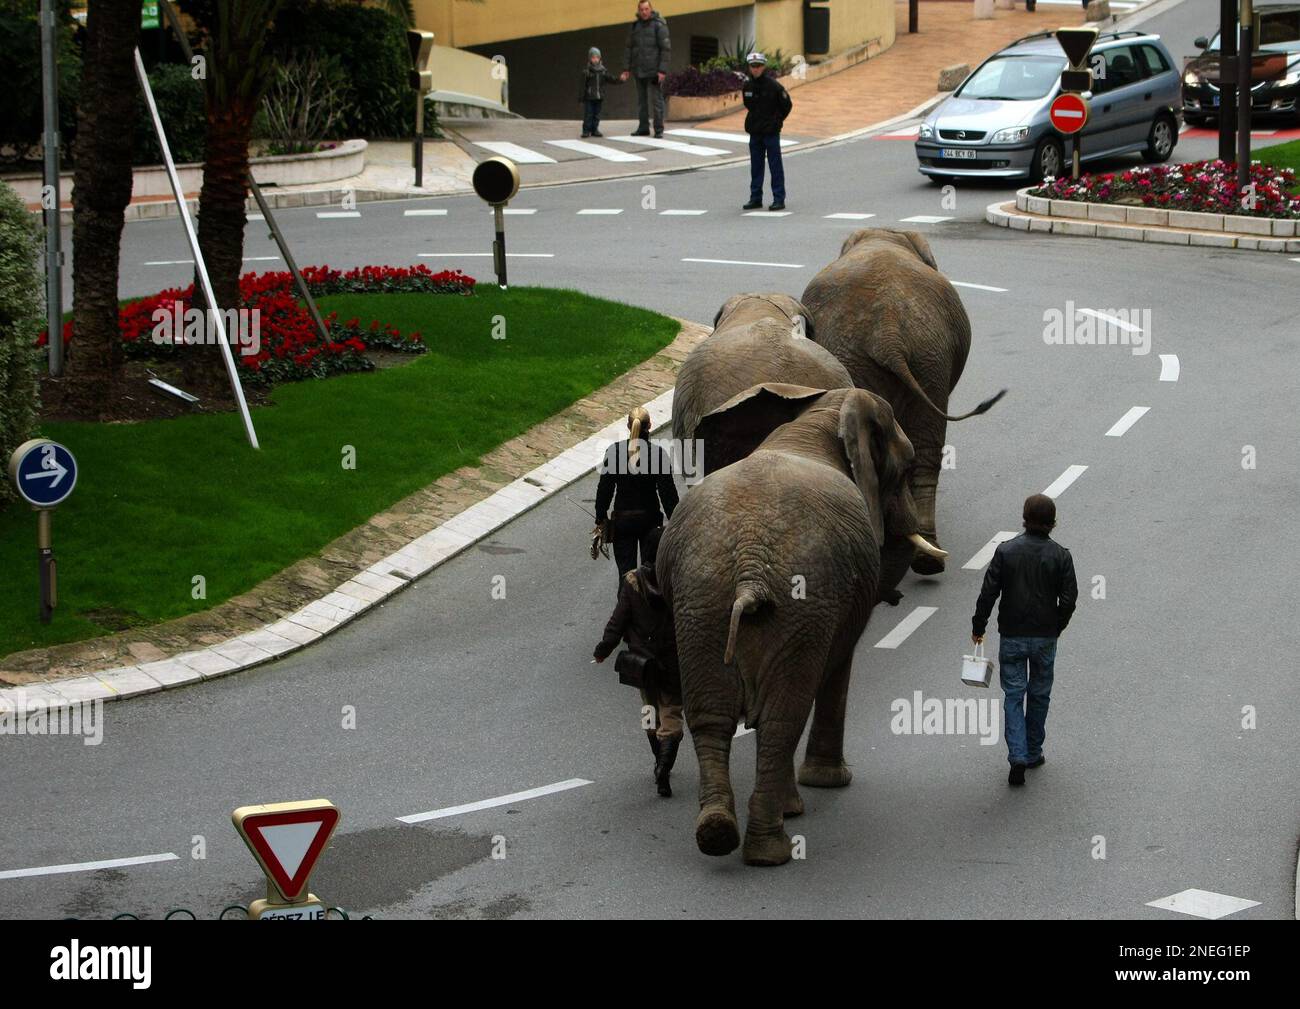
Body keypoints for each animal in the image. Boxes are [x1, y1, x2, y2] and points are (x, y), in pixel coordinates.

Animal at [656, 383, 947, 866]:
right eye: (904, 466)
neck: (816, 415)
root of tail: (750, 571)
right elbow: (838, 665)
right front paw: (826, 785)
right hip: (795, 601)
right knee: (782, 718)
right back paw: (770, 851)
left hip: (699, 602)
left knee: (712, 716)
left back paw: (717, 833)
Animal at [801, 228, 1005, 577]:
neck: (884, 236)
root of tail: (889, 335)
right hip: (926, 357)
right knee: (924, 447)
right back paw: (927, 560)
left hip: (919, 356)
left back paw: (922, 558)